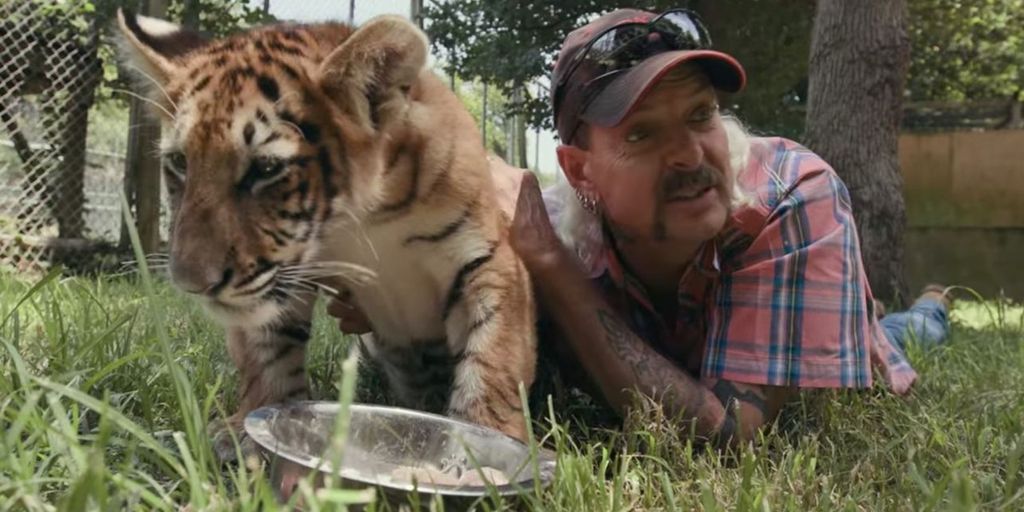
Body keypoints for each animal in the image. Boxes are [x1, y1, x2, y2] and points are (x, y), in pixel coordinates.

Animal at [115, 9, 537, 458]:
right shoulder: (284, 273)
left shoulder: (491, 260)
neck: (361, 220)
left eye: (265, 168)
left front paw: (484, 446)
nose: (191, 284)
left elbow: (493, 357)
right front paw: (251, 430)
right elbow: (267, 353)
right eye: (180, 162)